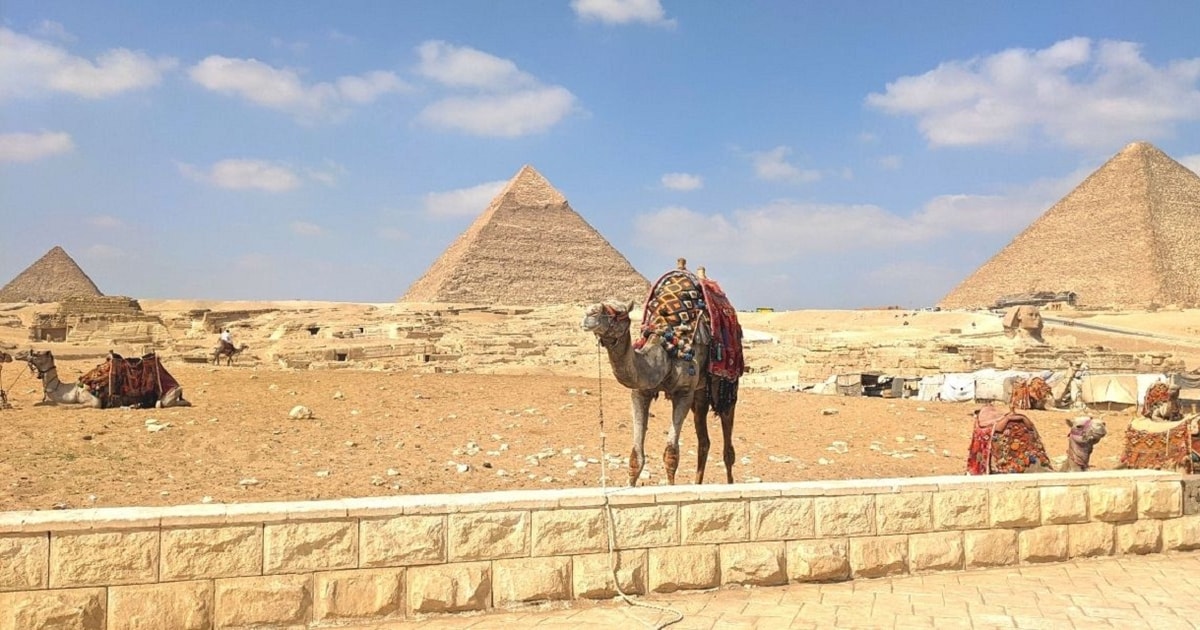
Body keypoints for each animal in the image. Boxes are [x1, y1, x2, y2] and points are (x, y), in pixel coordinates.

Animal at [582, 265, 744, 486]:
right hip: (701, 394)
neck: (665, 351)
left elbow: (671, 454)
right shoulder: (640, 392)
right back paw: (697, 484)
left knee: (728, 445)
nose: (589, 314)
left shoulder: (683, 393)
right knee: (704, 442)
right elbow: (635, 457)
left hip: (726, 385)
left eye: (619, 312)